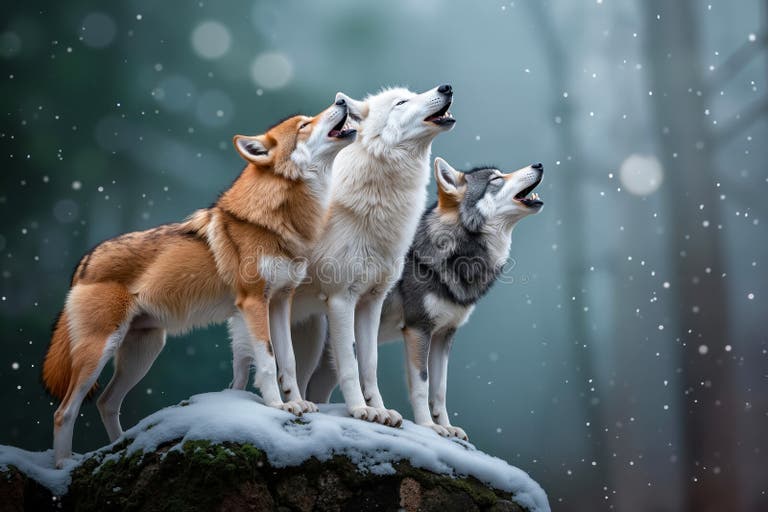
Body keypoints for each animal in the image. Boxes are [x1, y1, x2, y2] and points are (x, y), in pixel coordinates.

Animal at [42, 98, 356, 467]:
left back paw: (117, 449)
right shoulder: (253, 303)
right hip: (100, 353)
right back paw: (63, 465)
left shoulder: (280, 301)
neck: (278, 223)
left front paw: (295, 403)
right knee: (63, 411)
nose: (341, 100)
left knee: (106, 402)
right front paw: (277, 405)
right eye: (305, 124)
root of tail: (84, 261)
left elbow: (288, 360)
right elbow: (266, 361)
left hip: (144, 351)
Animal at [231, 85, 456, 426]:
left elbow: (370, 364)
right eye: (401, 102)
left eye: (412, 94)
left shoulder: (372, 301)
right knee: (242, 375)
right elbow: (351, 364)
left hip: (310, 337)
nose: (446, 87)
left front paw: (380, 410)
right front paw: (361, 410)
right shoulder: (342, 300)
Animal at [306, 157, 544, 439]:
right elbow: (422, 384)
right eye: (496, 179)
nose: (539, 165)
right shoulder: (418, 329)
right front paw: (429, 427)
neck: (455, 254)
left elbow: (439, 390)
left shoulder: (444, 335)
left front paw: (447, 427)